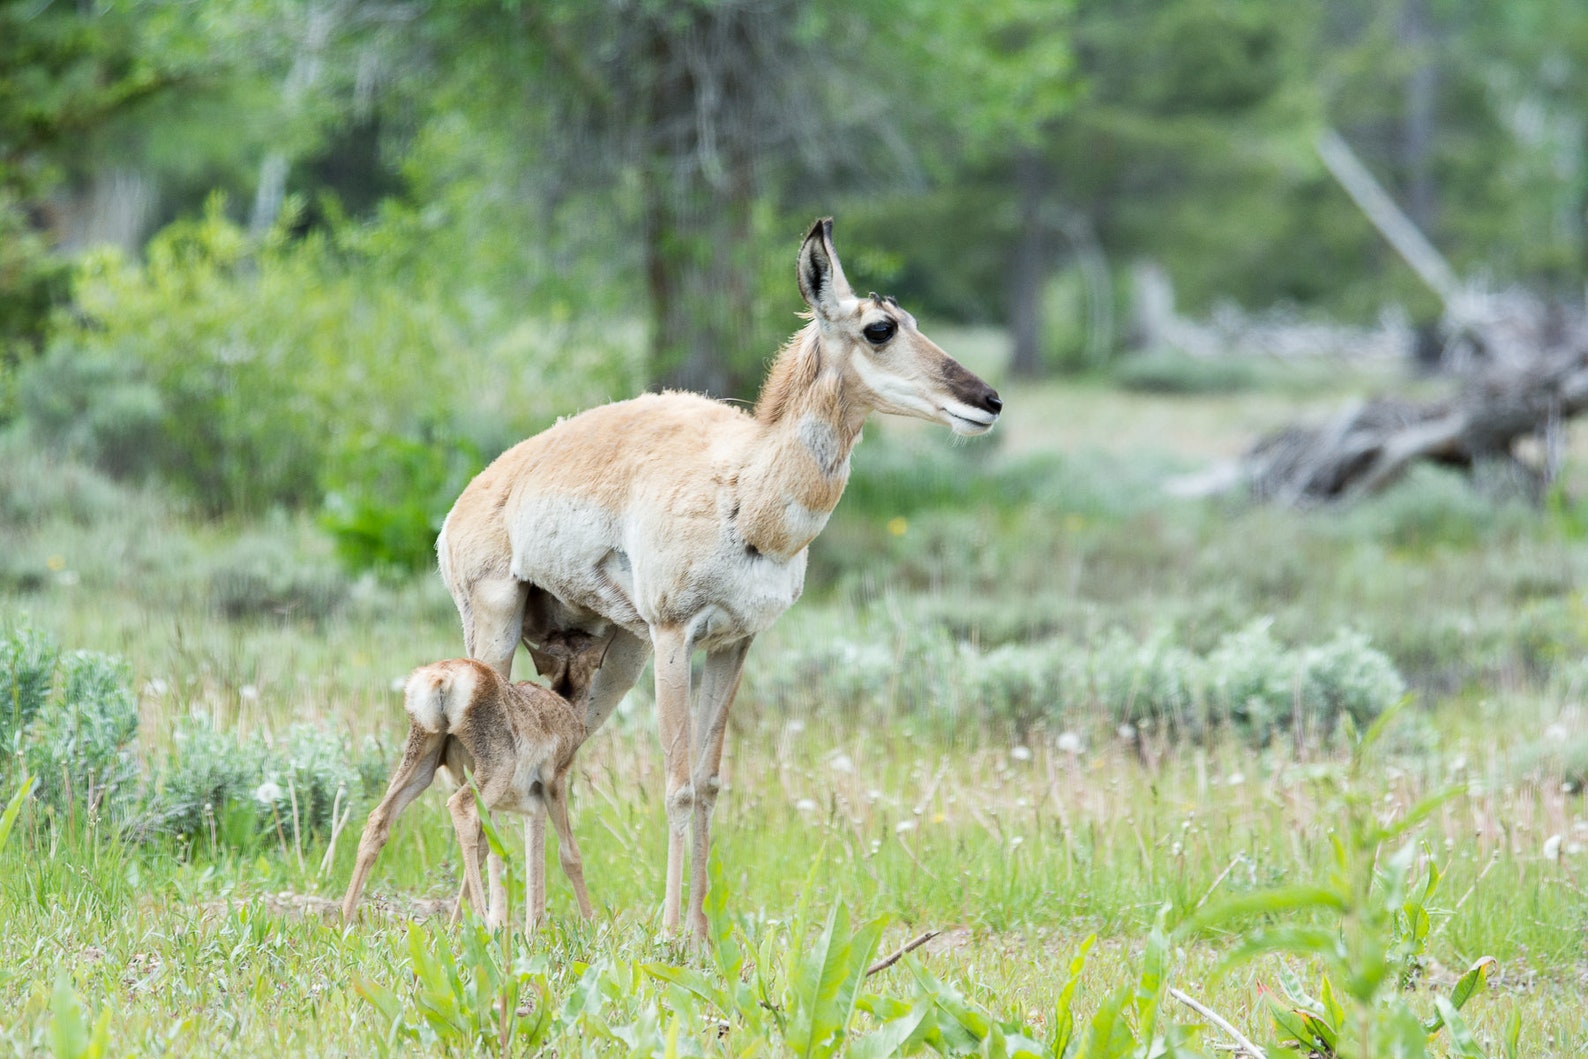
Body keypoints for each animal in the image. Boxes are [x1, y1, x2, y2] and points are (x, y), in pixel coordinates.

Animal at [341, 631, 610, 932]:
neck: (561, 705)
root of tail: (444, 675)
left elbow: (485, 848)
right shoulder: (552, 788)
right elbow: (568, 854)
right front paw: (586, 925)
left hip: (422, 763)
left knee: (379, 818)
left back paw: (344, 920)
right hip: (494, 773)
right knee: (460, 809)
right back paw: (485, 921)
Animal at [436, 218, 1002, 940]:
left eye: (912, 320)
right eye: (879, 327)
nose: (988, 400)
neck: (744, 487)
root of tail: (473, 495)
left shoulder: (733, 645)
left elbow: (707, 784)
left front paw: (703, 938)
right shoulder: (677, 637)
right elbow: (677, 784)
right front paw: (670, 935)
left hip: (612, 661)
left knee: (546, 773)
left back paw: (541, 923)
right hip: (498, 632)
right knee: (467, 786)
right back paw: (481, 924)